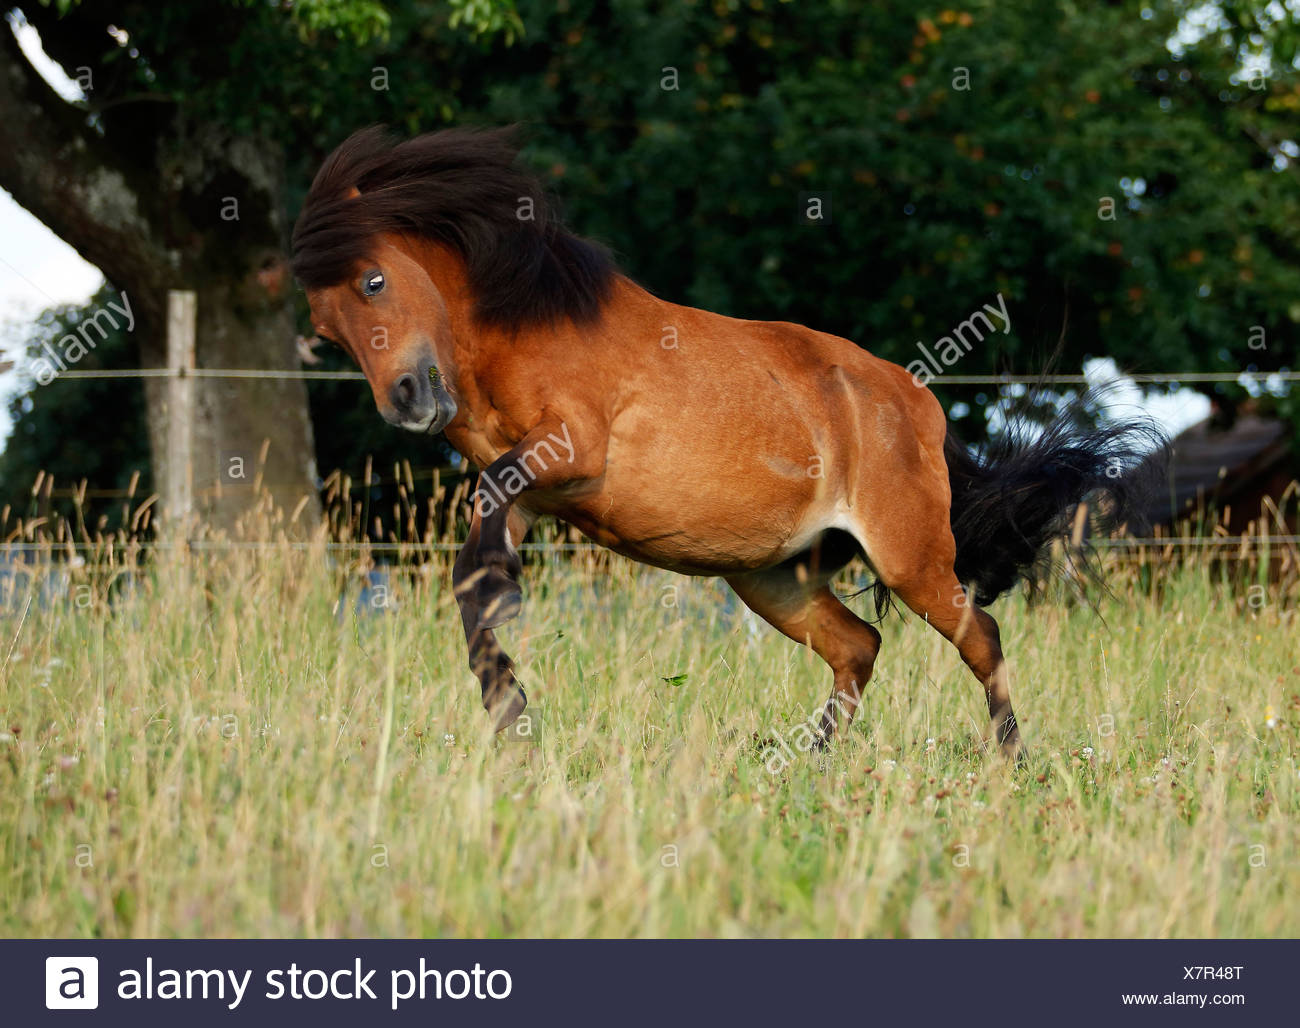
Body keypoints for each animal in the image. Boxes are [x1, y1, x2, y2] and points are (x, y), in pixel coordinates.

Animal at [291, 126, 1161, 761]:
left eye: (374, 280)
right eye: (326, 330)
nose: (408, 402)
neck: (533, 323)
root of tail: (917, 404)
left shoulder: (571, 451)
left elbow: (483, 538)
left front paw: (509, 688)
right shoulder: (532, 496)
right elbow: (471, 572)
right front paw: (509, 707)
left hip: (910, 560)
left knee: (979, 636)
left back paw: (1009, 759)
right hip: (774, 578)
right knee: (860, 646)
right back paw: (809, 761)